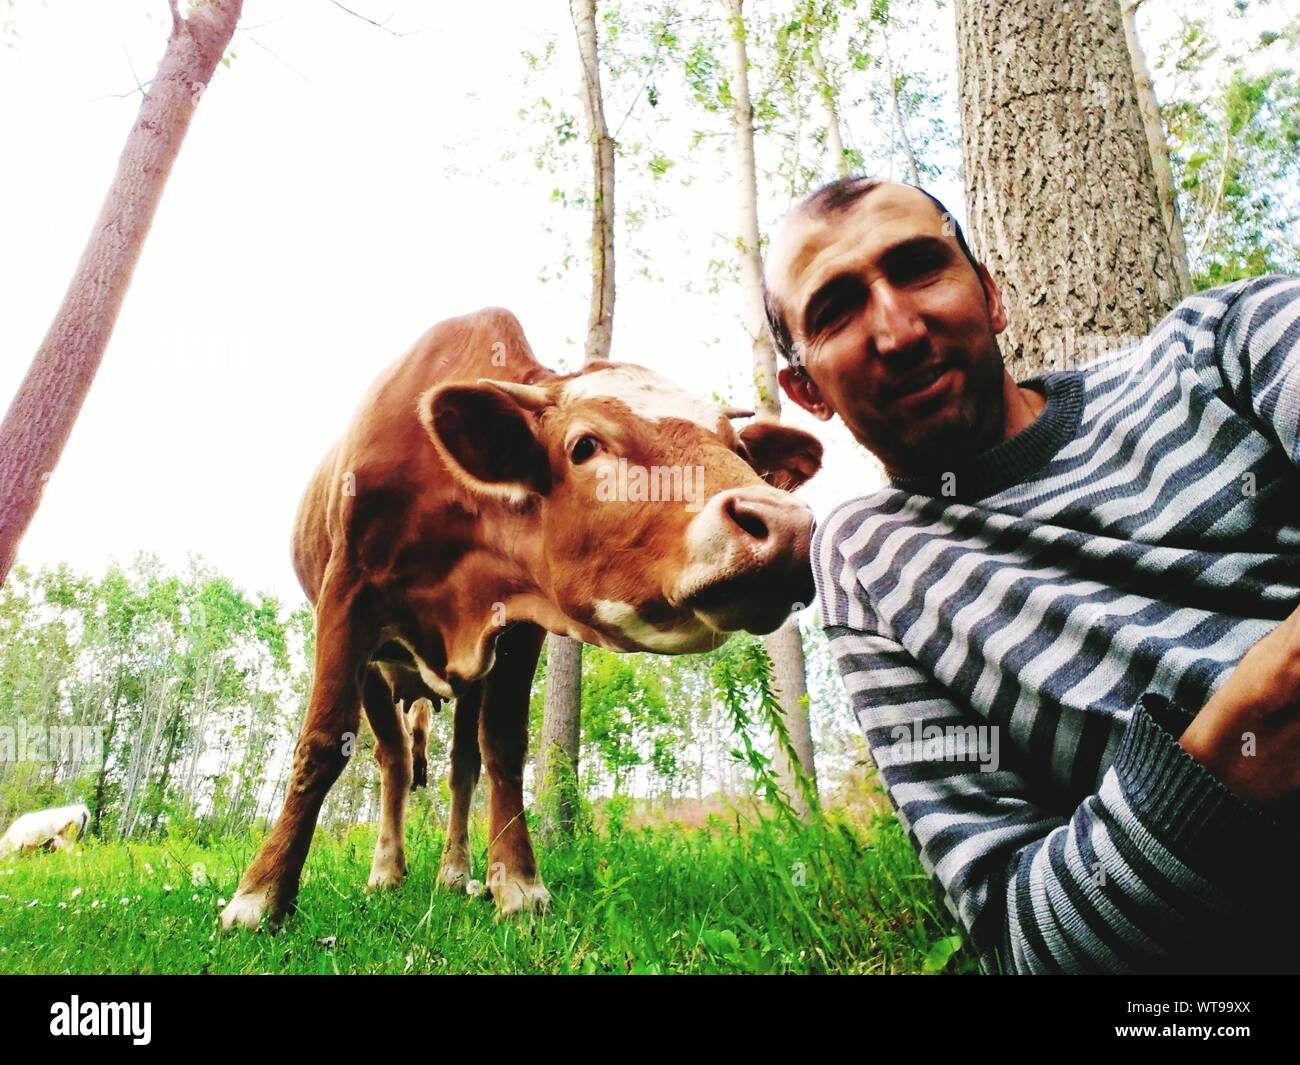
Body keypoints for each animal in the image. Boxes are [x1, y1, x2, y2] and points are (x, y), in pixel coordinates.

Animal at [220, 307, 822, 931]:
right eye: (584, 445)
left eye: (742, 452)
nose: (787, 527)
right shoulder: (346, 595)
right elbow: (321, 741)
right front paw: (261, 894)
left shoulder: (518, 626)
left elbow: (504, 746)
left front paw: (517, 882)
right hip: (379, 668)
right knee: (393, 760)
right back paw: (386, 870)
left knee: (460, 765)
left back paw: (455, 872)